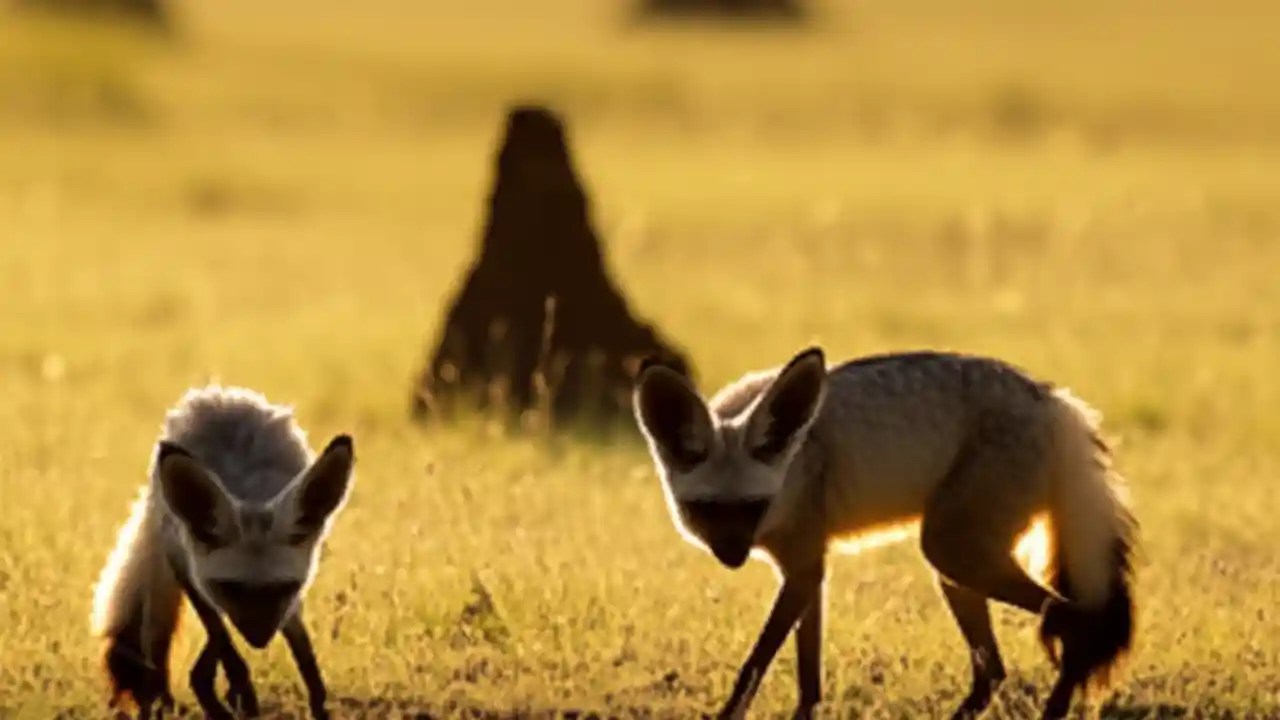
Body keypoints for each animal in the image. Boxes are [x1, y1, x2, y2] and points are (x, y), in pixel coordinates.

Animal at [90, 385, 356, 720]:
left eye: (283, 586)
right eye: (232, 587)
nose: (259, 639)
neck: (251, 495)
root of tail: (220, 394)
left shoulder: (293, 591)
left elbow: (304, 653)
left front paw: (317, 703)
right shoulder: (187, 565)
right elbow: (223, 640)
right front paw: (241, 692)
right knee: (171, 643)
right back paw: (170, 699)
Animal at [633, 347, 1137, 720]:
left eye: (753, 507)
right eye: (707, 509)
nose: (732, 556)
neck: (795, 465)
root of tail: (1056, 401)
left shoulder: (802, 567)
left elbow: (756, 664)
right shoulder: (807, 570)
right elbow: (808, 680)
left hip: (954, 553)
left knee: (1078, 622)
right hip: (957, 572)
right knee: (993, 672)